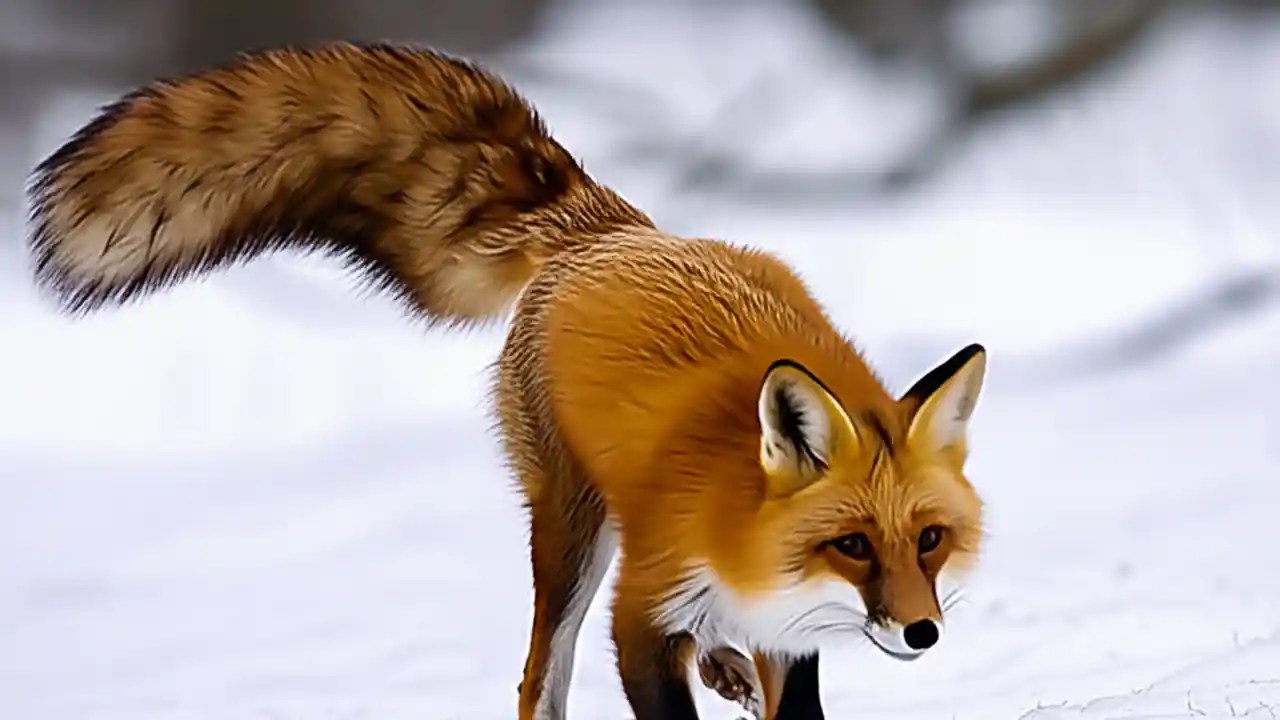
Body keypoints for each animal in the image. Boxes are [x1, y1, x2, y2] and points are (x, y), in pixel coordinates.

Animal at [26, 42, 987, 720]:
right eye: (852, 544)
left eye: (930, 540)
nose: (923, 631)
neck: (744, 523)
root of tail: (612, 232)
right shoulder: (641, 617)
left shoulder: (788, 633)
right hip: (570, 536)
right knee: (537, 685)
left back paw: (723, 666)